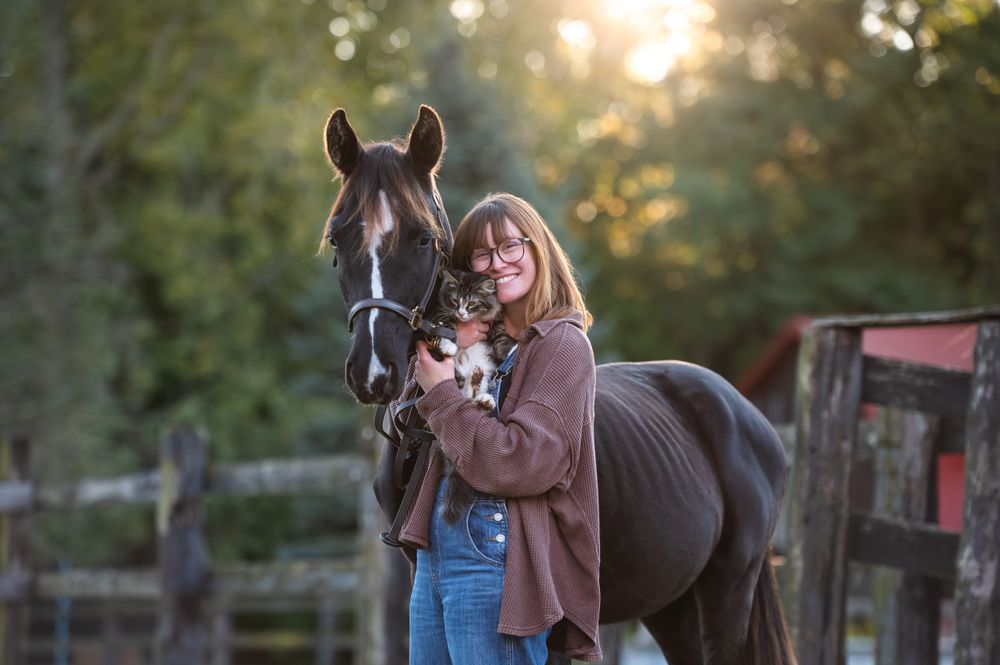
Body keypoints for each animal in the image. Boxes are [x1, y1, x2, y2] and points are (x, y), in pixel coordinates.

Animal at [320, 105, 797, 665]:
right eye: (338, 238)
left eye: (422, 238)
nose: (375, 371)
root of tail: (746, 413)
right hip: (672, 601)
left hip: (729, 587)